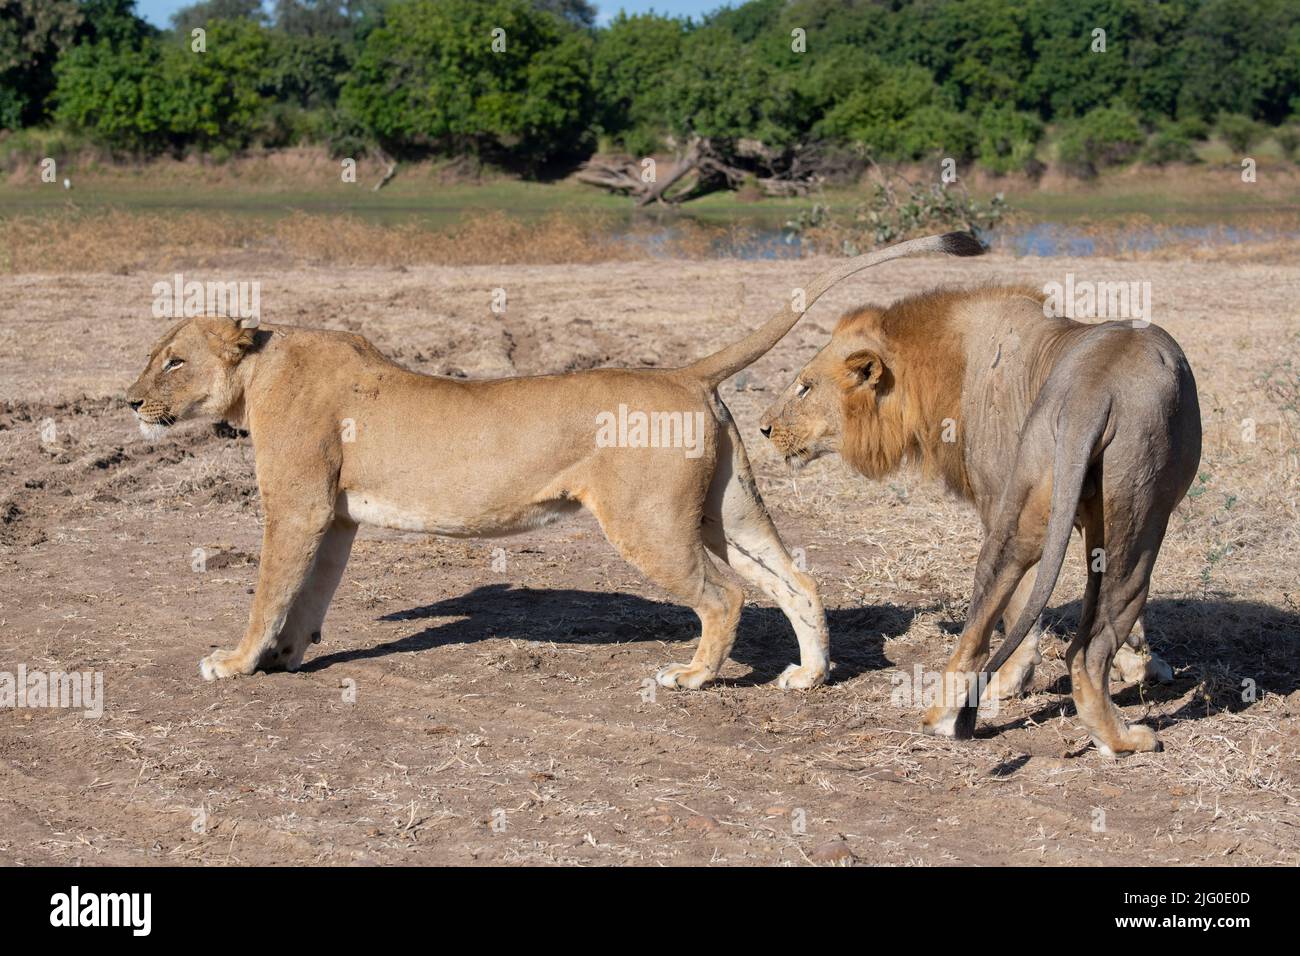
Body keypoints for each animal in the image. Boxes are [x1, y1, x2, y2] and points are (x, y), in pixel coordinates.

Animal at [125, 233, 983, 690]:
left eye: (172, 361)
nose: (130, 401)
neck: (261, 371)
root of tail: (682, 374)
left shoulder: (298, 504)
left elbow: (270, 589)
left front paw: (236, 662)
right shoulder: (334, 516)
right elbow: (310, 594)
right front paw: (287, 657)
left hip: (647, 522)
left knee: (725, 595)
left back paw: (690, 677)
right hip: (727, 508)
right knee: (796, 582)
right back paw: (806, 677)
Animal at [759, 286, 1200, 755]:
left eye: (804, 387)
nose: (764, 428)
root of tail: (1092, 391)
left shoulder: (1001, 501)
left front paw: (1141, 665)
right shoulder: (1001, 500)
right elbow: (1027, 606)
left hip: (1038, 501)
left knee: (983, 614)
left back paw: (946, 715)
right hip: (1141, 517)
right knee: (1088, 644)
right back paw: (1120, 738)